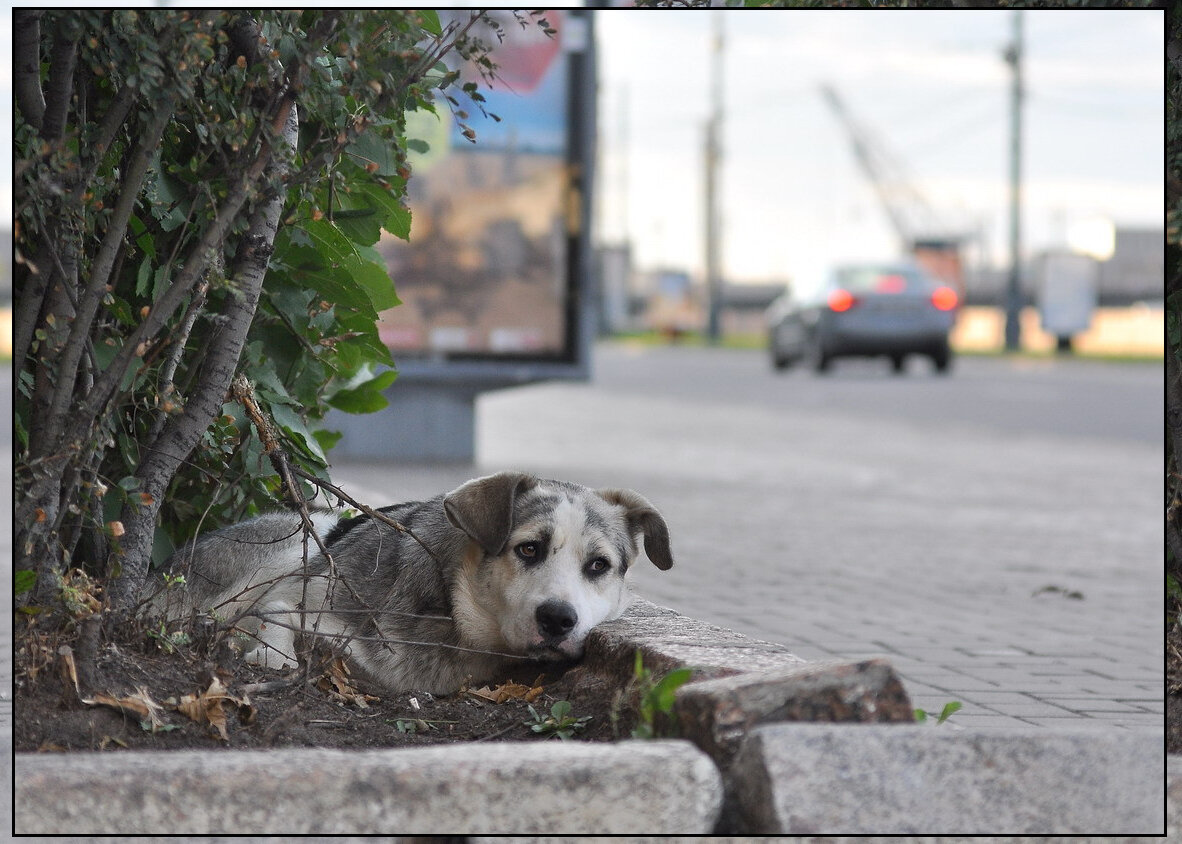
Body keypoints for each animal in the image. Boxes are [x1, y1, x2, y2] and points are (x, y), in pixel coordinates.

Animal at [154, 470, 676, 695]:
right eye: (529, 549)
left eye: (598, 566)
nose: (558, 620)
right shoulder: (304, 599)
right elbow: (275, 620)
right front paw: (267, 652)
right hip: (297, 539)